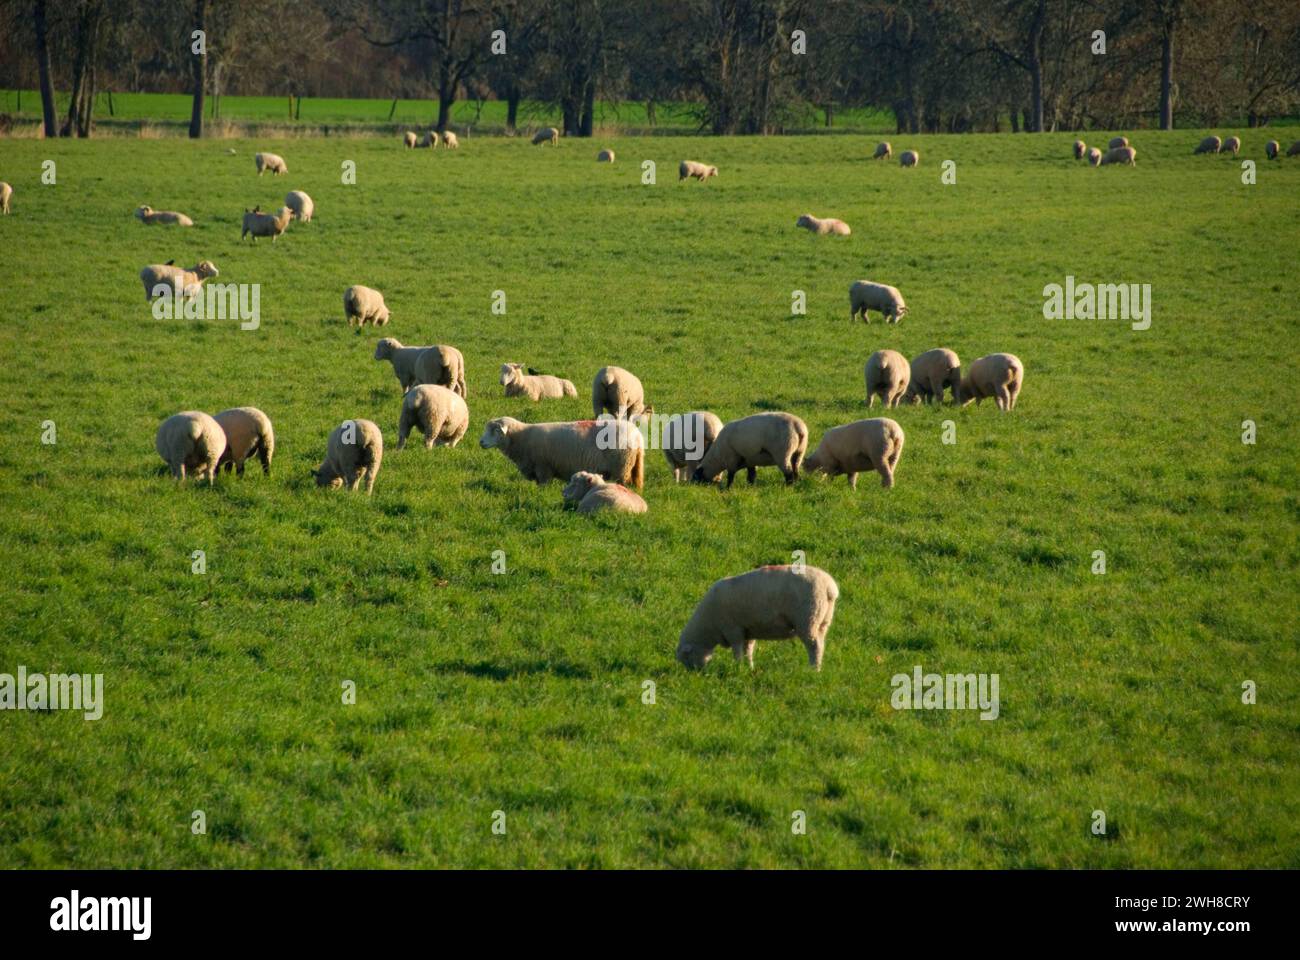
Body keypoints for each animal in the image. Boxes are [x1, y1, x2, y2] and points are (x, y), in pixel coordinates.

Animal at [479, 417, 645, 490]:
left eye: (496, 431)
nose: (481, 442)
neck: (522, 437)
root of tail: (637, 435)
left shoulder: (543, 467)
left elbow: (543, 486)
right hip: (631, 466)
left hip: (621, 466)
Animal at [676, 565, 839, 671]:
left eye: (687, 658)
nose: (695, 674)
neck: (709, 626)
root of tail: (829, 588)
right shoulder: (748, 630)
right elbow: (748, 650)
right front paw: (749, 668)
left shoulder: (733, 629)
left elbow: (737, 650)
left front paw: (738, 668)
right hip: (822, 621)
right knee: (821, 644)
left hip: (807, 619)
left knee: (814, 647)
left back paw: (813, 669)